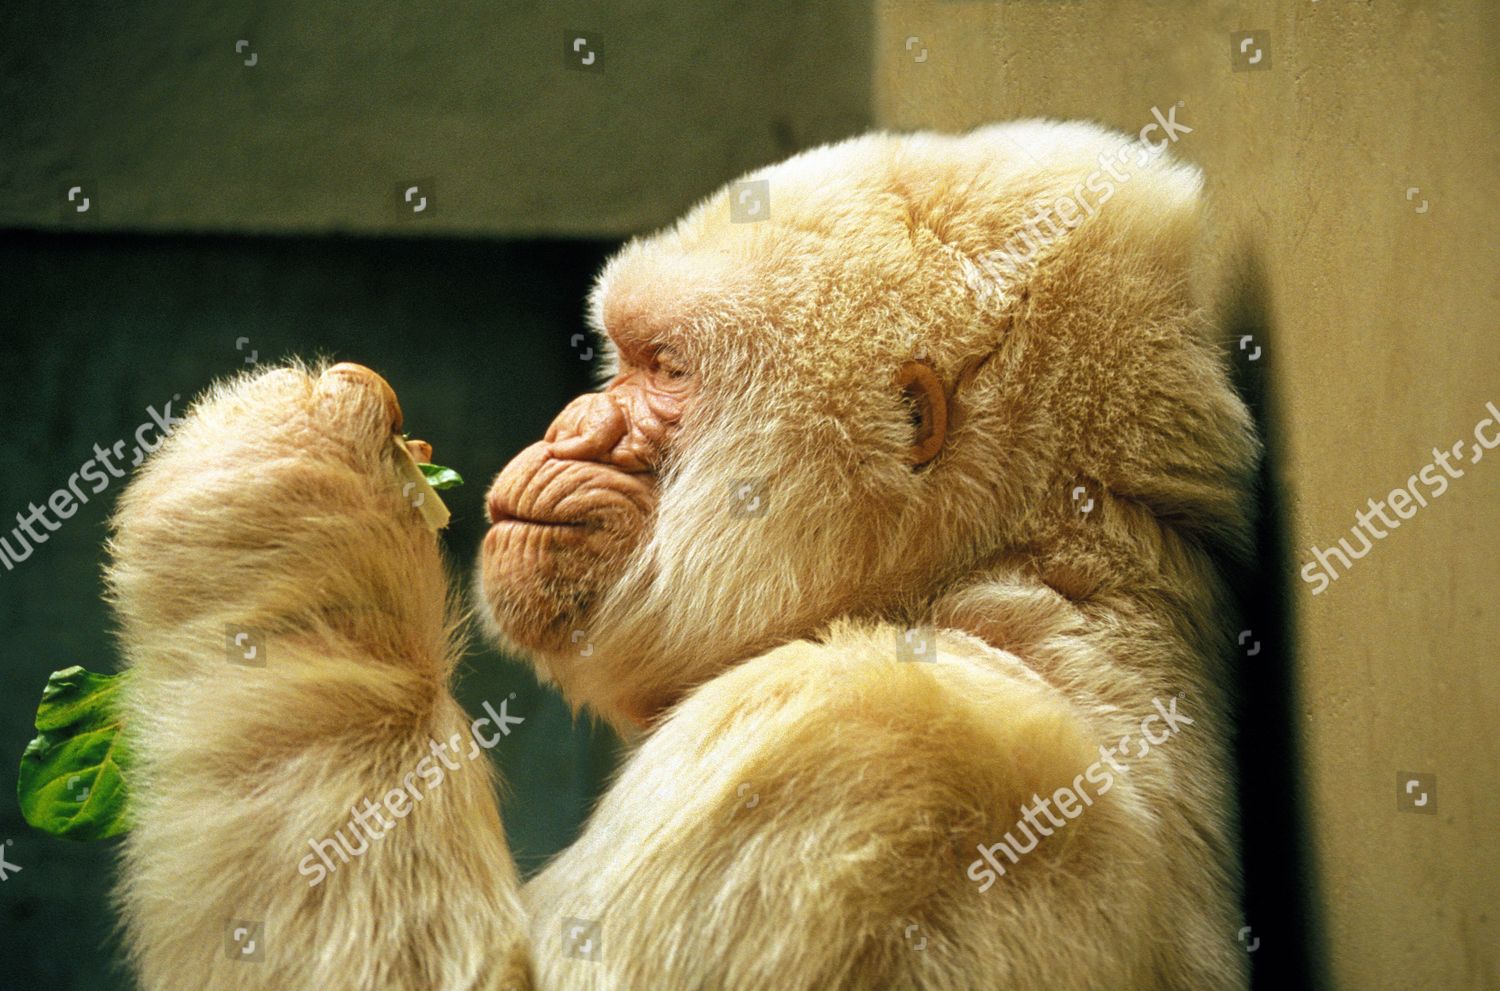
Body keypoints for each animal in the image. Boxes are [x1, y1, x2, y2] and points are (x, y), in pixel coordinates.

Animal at [108, 119, 1257, 990]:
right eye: (621, 356)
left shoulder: (864, 746)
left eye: (664, 367)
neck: (973, 578)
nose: (569, 426)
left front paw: (288, 488)